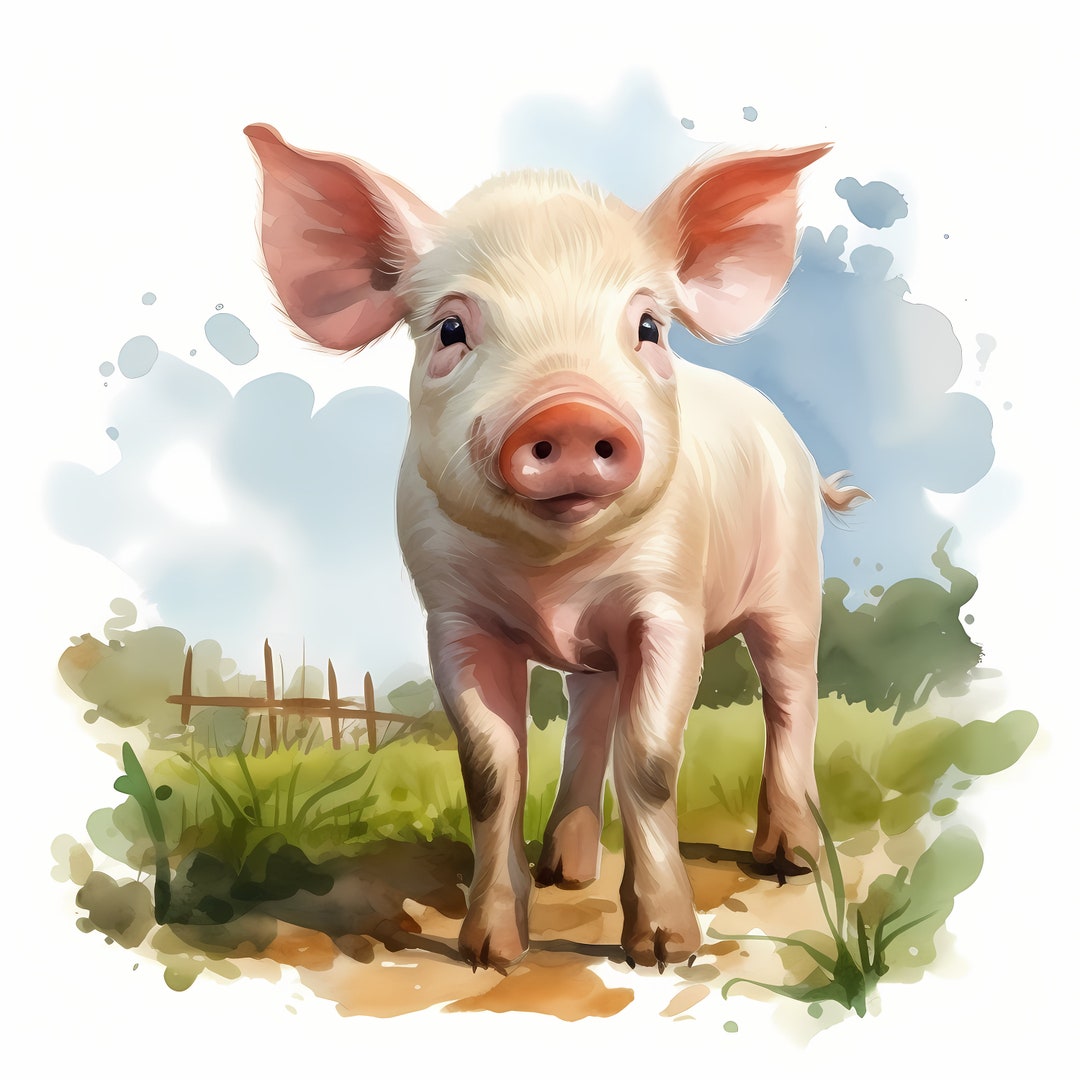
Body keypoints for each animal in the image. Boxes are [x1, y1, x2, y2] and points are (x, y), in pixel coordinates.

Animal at [245, 124, 866, 973]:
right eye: (450, 329)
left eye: (648, 327)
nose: (569, 410)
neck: (555, 578)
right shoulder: (454, 619)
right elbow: (490, 771)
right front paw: (489, 954)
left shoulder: (668, 607)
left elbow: (652, 761)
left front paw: (665, 951)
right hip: (604, 657)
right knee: (589, 714)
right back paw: (565, 871)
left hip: (793, 587)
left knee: (790, 699)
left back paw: (788, 860)